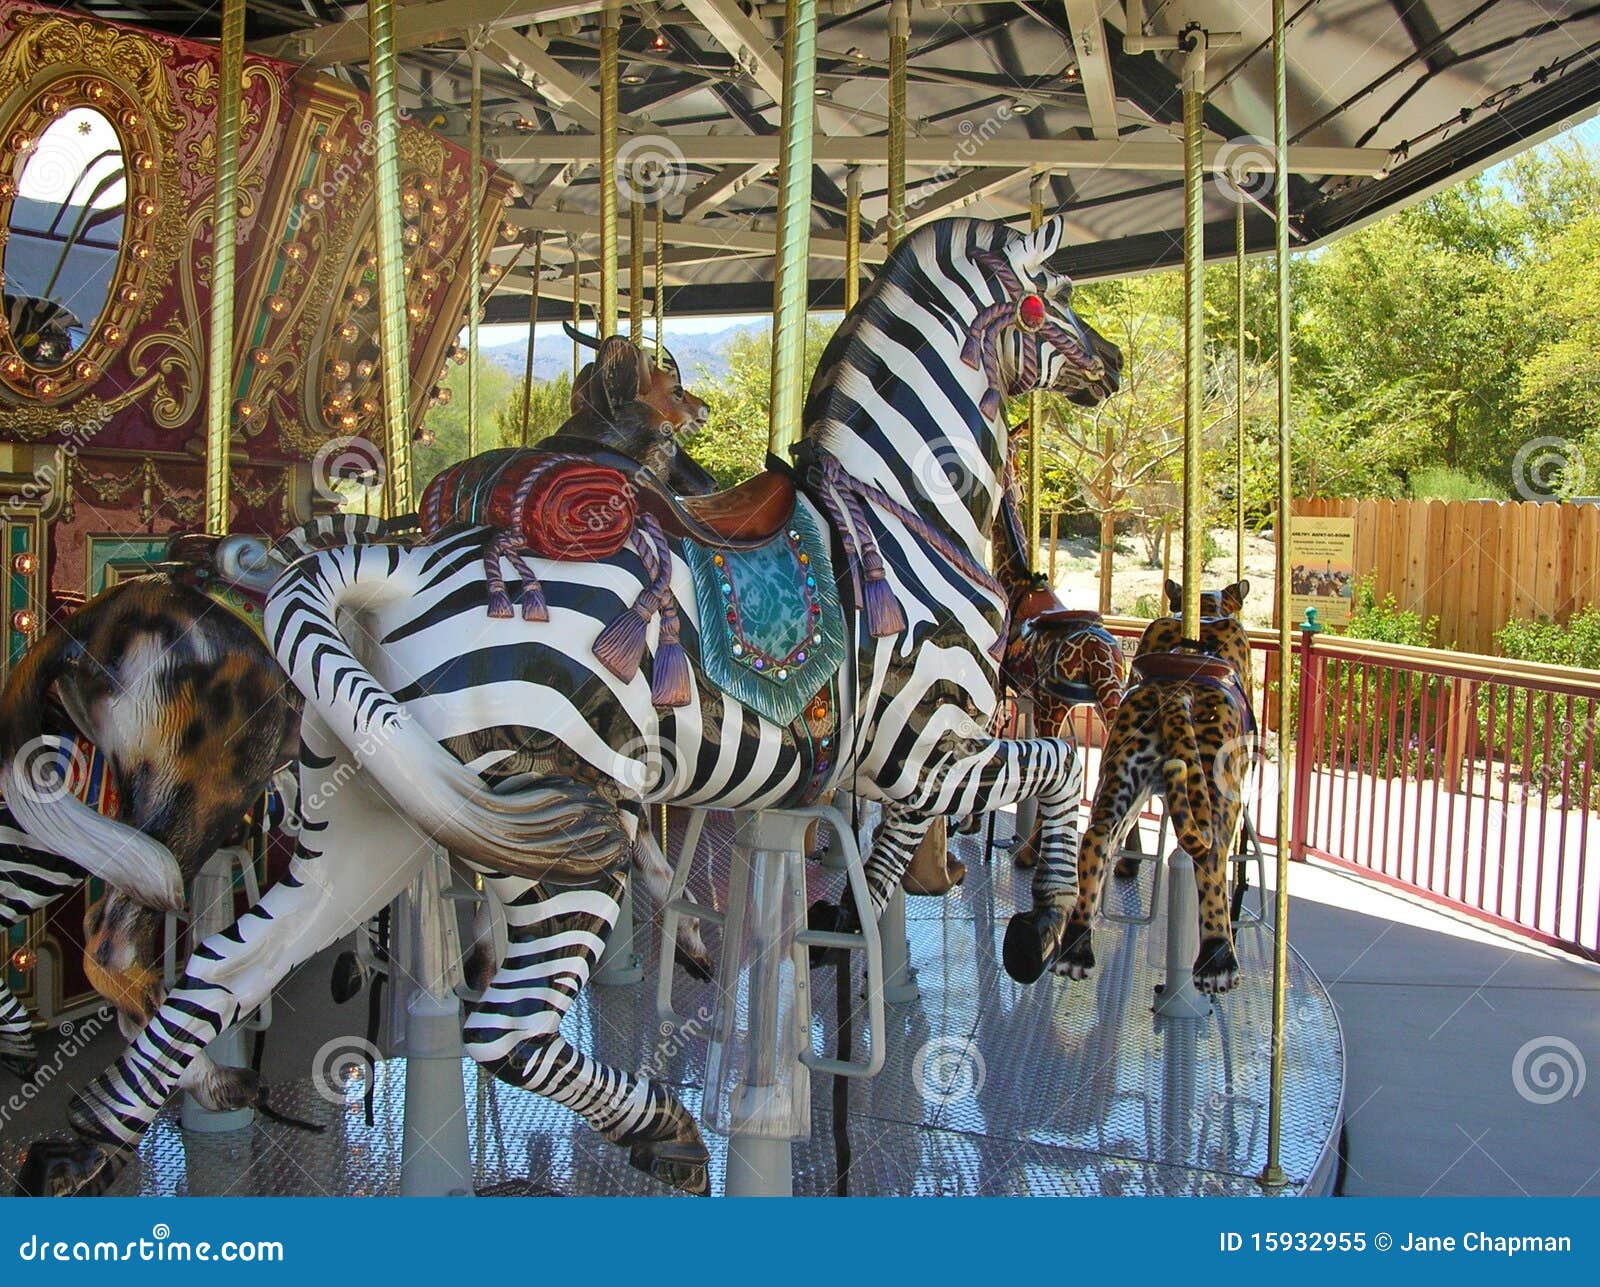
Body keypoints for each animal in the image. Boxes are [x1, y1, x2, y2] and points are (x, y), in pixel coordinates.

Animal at [18, 214, 1121, 1197]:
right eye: (1059, 289)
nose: (1109, 361)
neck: (900, 516)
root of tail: (379, 568)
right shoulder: (932, 750)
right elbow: (1061, 774)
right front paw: (1049, 929)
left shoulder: (892, 768)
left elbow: (887, 851)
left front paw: (854, 917)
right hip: (563, 823)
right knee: (502, 1027)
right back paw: (666, 1131)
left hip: (373, 816)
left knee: (213, 974)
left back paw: (83, 1146)